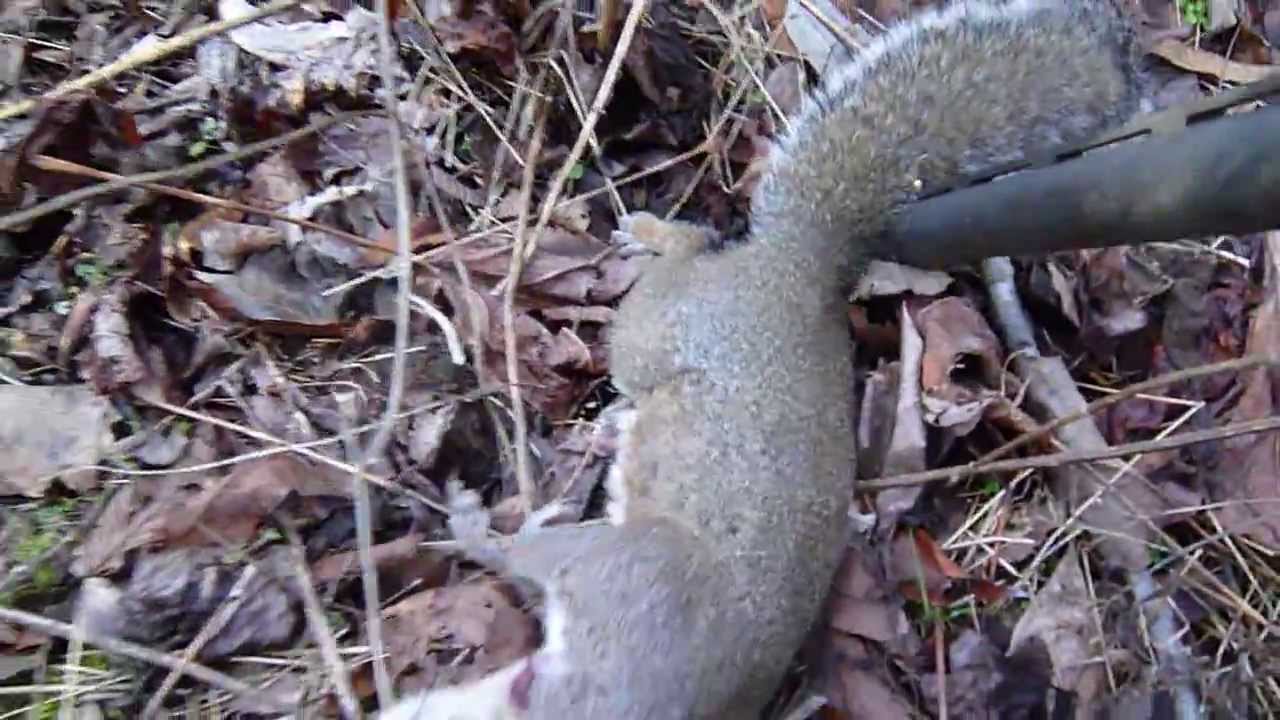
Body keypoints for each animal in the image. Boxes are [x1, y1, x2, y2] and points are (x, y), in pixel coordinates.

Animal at [381, 0, 1144, 718]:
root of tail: (798, 271)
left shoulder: (622, 578)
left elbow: (534, 555)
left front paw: (473, 528)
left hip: (659, 327)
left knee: (680, 270)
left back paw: (652, 248)